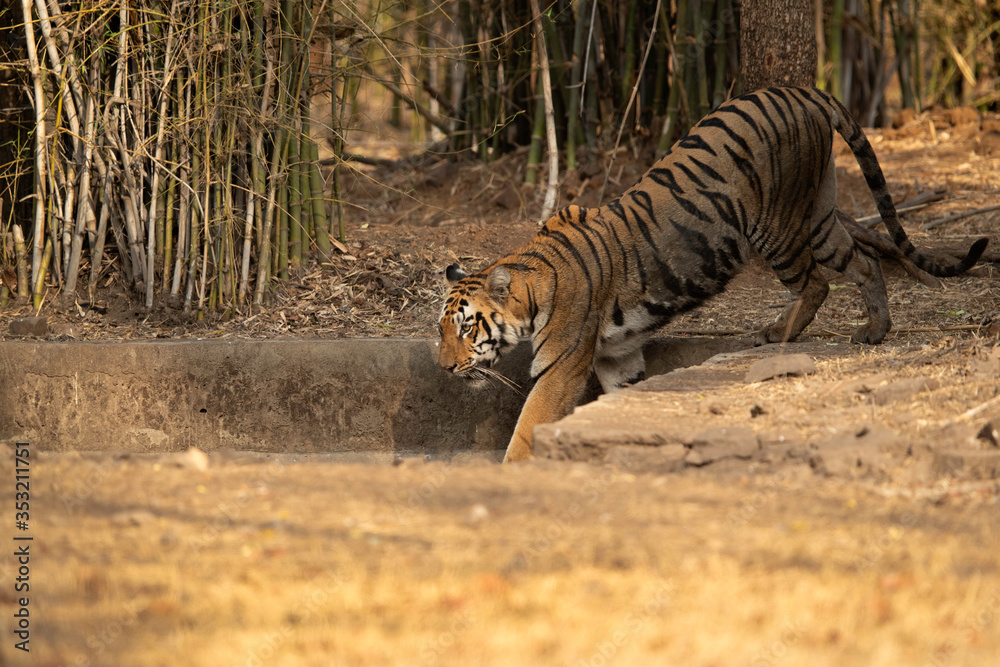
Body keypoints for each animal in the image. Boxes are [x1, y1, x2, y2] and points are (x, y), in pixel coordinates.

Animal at [437, 86, 988, 463]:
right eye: (439, 330)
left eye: (466, 328)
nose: (442, 369)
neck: (531, 288)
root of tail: (803, 90)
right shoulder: (618, 355)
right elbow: (625, 391)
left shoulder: (562, 366)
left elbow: (529, 422)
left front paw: (512, 467)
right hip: (819, 215)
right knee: (864, 260)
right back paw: (874, 330)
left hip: (777, 226)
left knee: (816, 282)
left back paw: (777, 333)